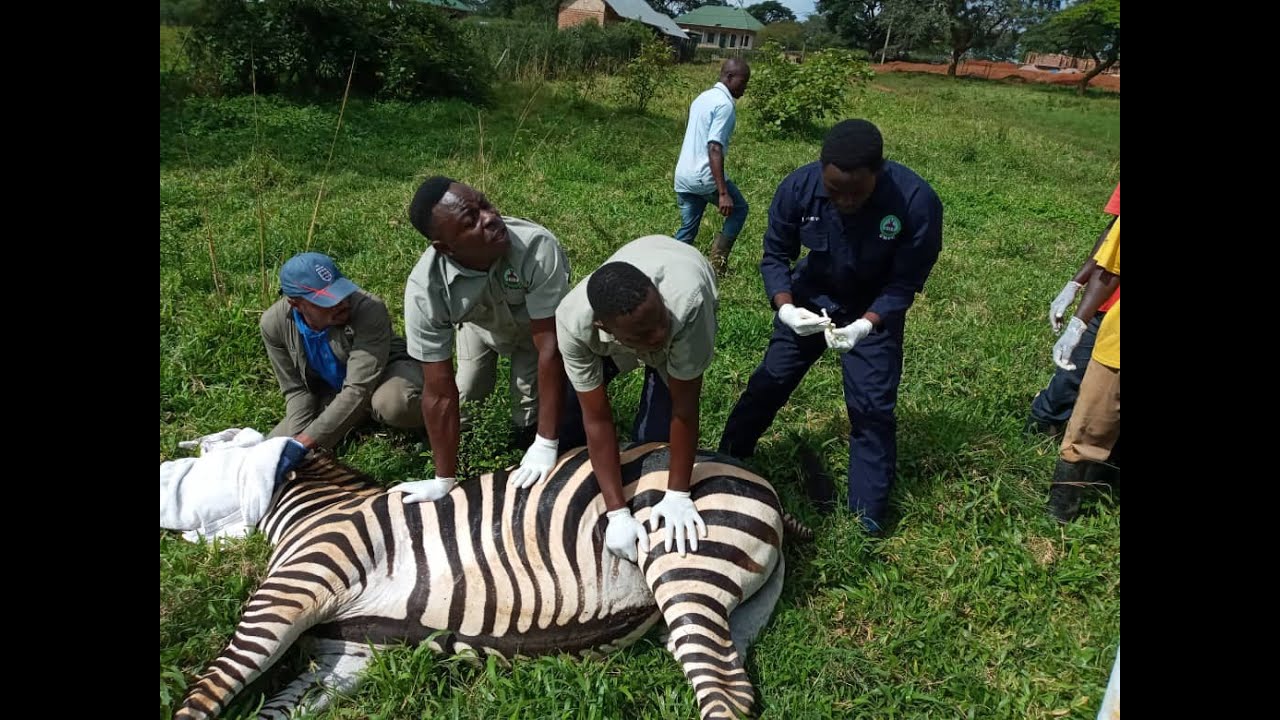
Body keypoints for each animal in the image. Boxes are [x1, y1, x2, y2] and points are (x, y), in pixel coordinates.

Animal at [174, 442, 813, 720]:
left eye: (198, 459)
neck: (315, 510)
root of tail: (761, 484)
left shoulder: (301, 581)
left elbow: (213, 686)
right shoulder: (350, 655)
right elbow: (274, 711)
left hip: (684, 568)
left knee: (723, 695)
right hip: (734, 604)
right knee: (733, 681)